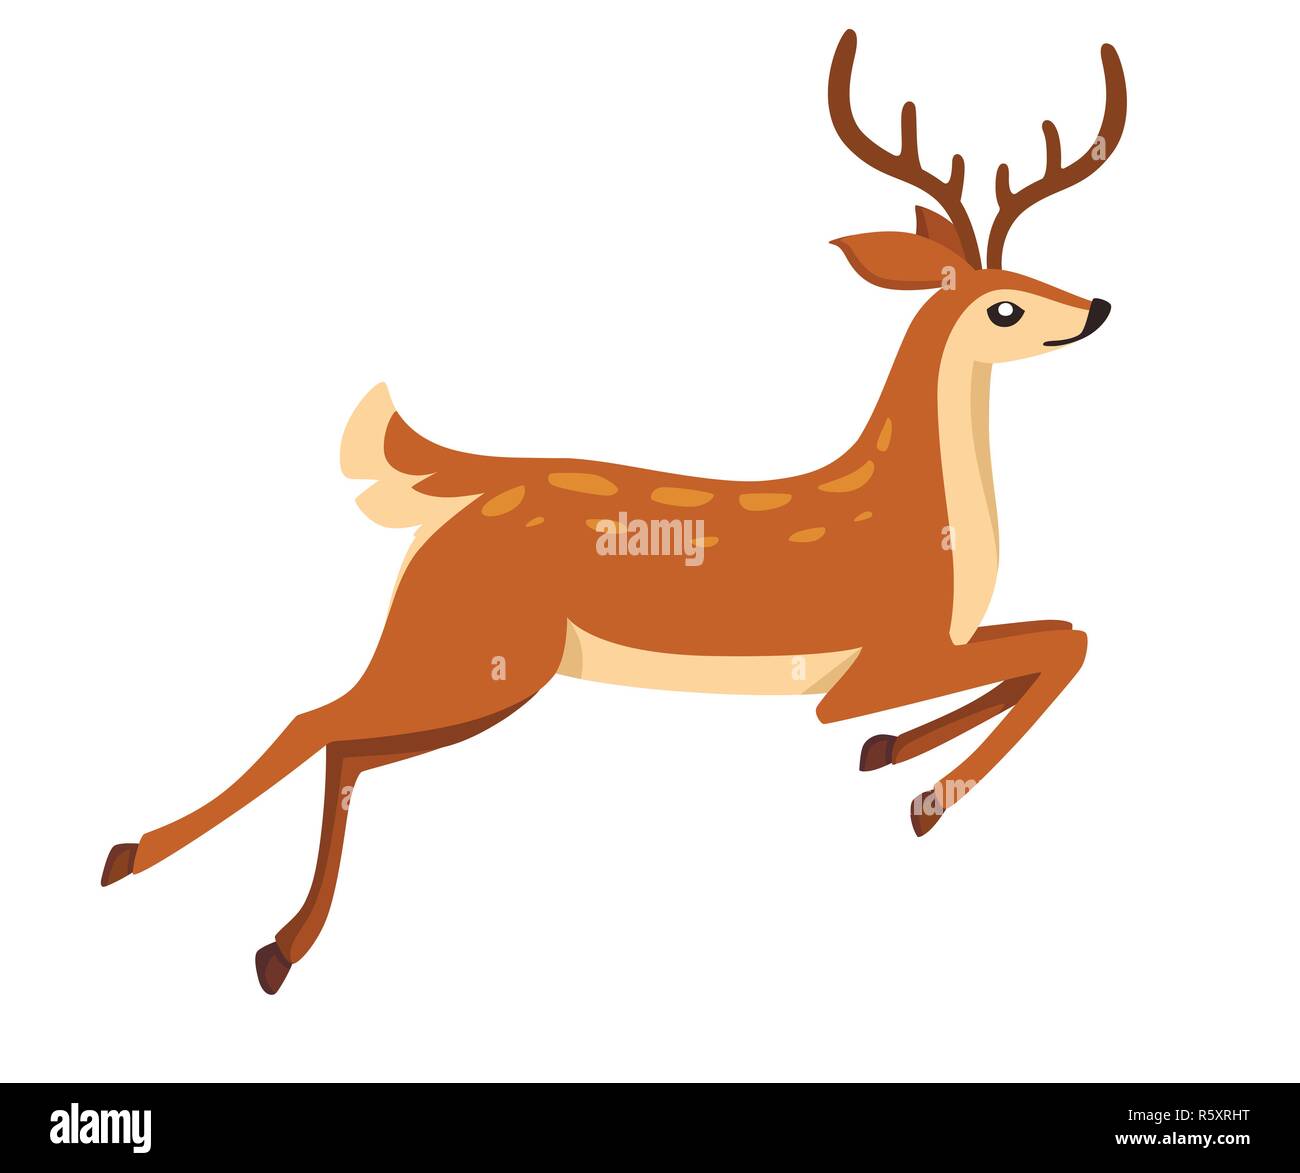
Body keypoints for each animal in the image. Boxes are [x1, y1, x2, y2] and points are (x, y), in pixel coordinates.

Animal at [101, 29, 1127, 993]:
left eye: (1031, 274)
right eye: (1001, 307)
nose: (1098, 307)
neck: (931, 523)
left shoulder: (930, 644)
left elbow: (1059, 637)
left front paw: (892, 755)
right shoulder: (876, 657)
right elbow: (1056, 649)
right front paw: (927, 797)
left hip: (477, 663)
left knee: (338, 741)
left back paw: (225, 913)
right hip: (474, 654)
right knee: (315, 721)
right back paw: (178, 882)